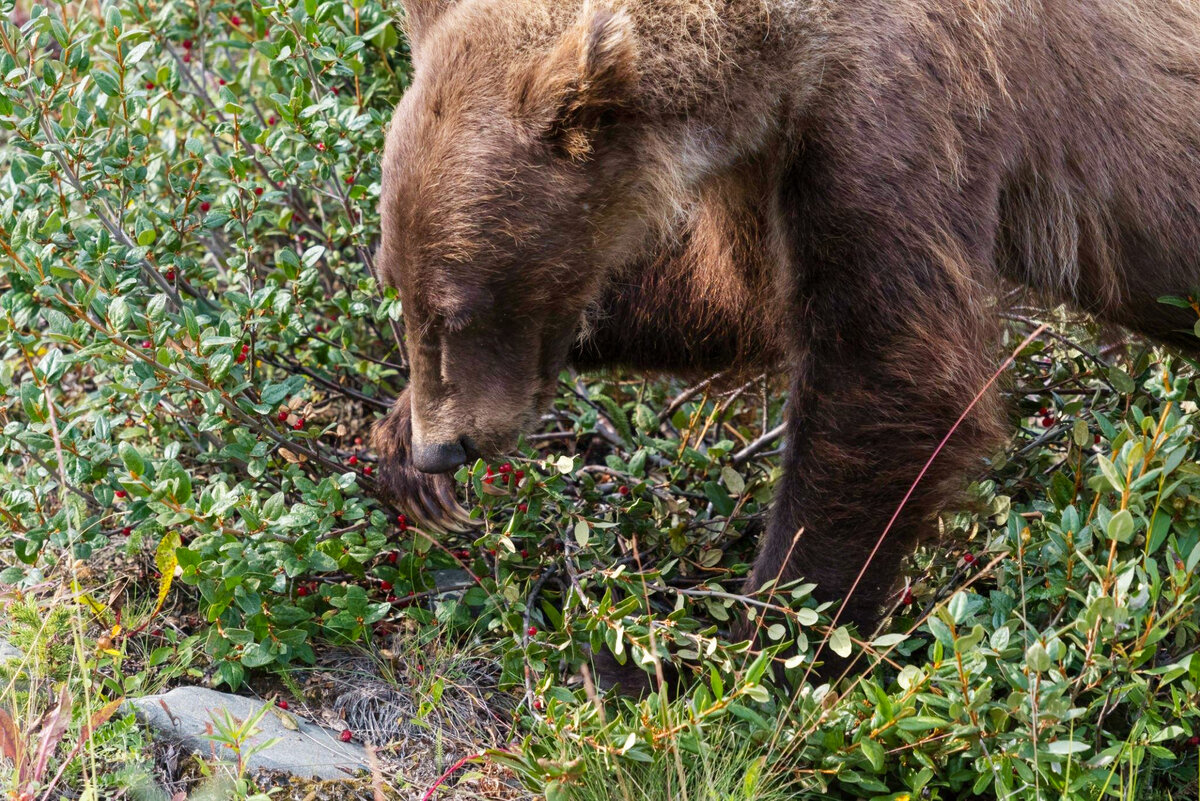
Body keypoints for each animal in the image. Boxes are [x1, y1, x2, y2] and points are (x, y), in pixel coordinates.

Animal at [369, 0, 1200, 637]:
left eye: (460, 305)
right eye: (395, 281)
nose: (443, 449)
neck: (780, 49)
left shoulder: (900, 108)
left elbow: (891, 372)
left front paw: (764, 644)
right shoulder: (768, 154)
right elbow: (736, 298)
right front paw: (399, 443)